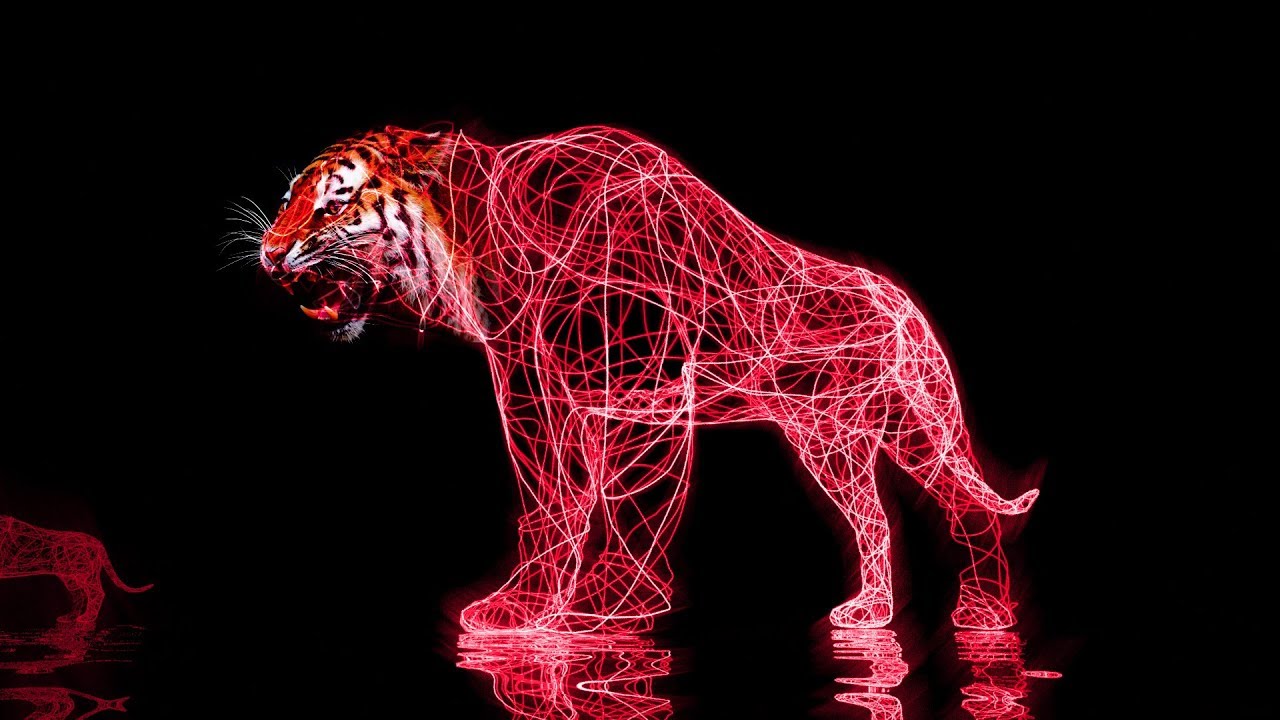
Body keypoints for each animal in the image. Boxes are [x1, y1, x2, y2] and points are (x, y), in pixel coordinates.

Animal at [255, 125, 1039, 633]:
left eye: (335, 202)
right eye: (291, 195)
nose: (266, 252)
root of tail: (907, 304)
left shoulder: (641, 387)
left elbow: (627, 495)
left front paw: (604, 600)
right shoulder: (532, 389)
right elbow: (553, 495)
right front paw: (564, 601)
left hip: (907, 418)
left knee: (961, 504)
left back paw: (984, 616)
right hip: (830, 439)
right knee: (873, 518)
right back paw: (872, 614)